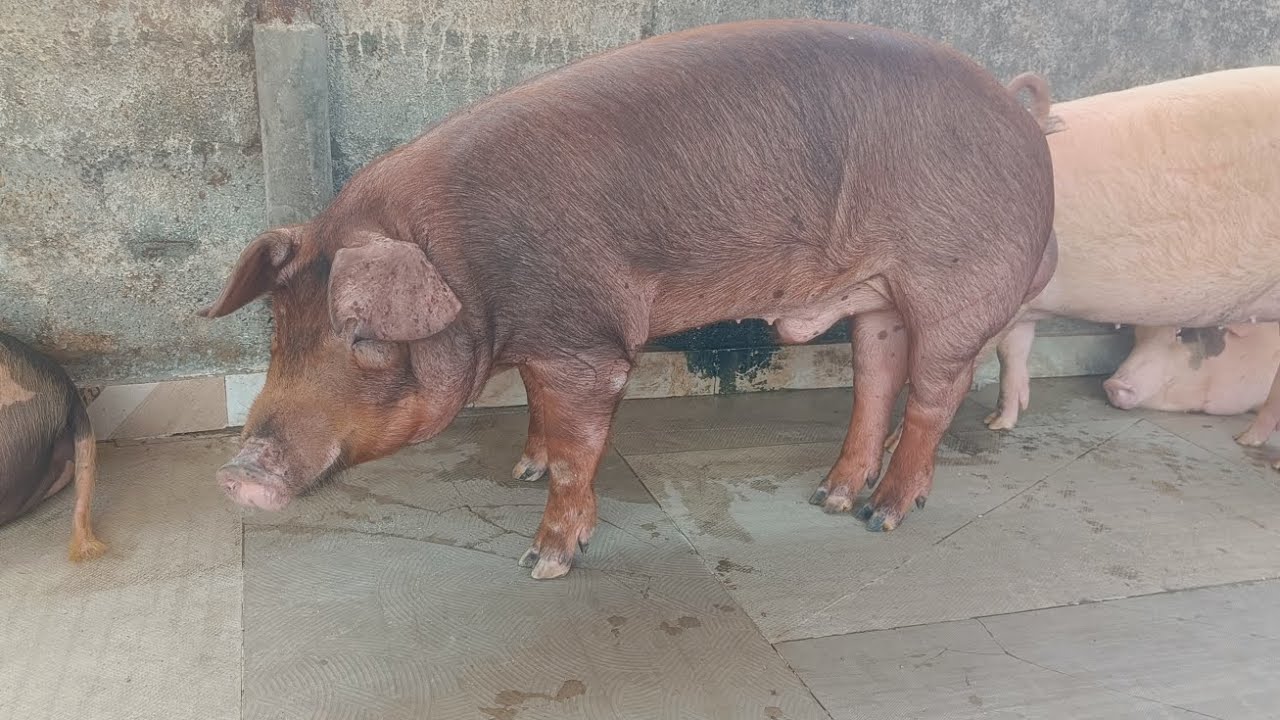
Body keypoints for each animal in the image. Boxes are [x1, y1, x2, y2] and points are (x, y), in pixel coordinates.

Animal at [198, 19, 1056, 579]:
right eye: (279, 327)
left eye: (364, 336)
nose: (237, 470)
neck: (471, 271)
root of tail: (1019, 112)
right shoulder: (546, 341)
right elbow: (541, 413)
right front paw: (523, 468)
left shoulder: (590, 342)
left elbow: (581, 451)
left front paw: (543, 561)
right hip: (875, 300)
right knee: (876, 381)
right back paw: (831, 498)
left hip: (959, 285)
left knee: (936, 394)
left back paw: (884, 514)